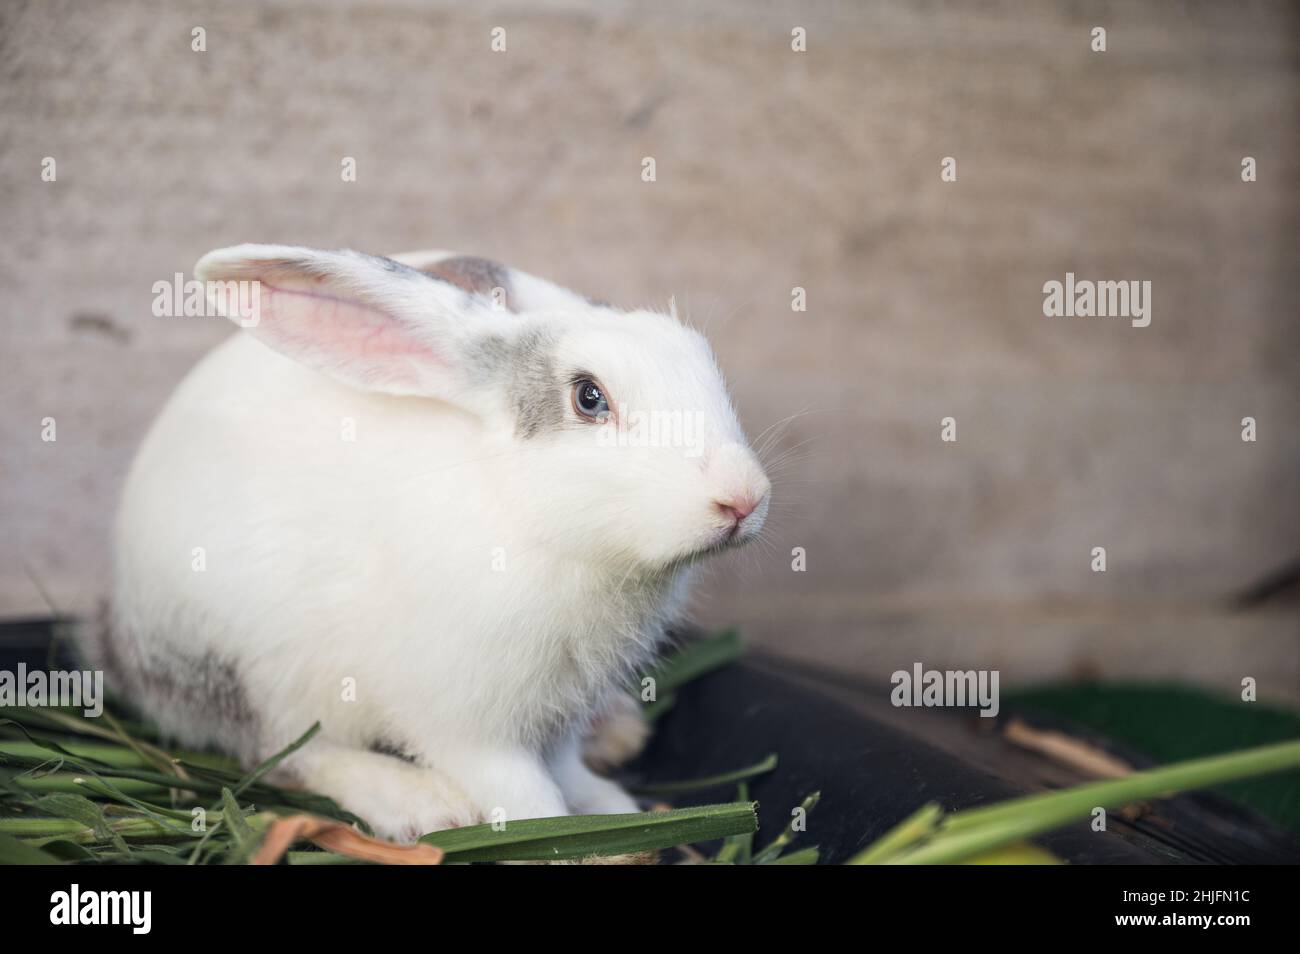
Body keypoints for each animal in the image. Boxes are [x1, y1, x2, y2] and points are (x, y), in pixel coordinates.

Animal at [96, 244, 771, 843]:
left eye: (705, 361)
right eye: (588, 397)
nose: (743, 498)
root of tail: (118, 642)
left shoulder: (559, 714)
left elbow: (566, 771)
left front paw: (612, 813)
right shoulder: (465, 725)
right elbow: (526, 794)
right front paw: (572, 836)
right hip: (259, 673)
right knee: (282, 752)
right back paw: (418, 805)